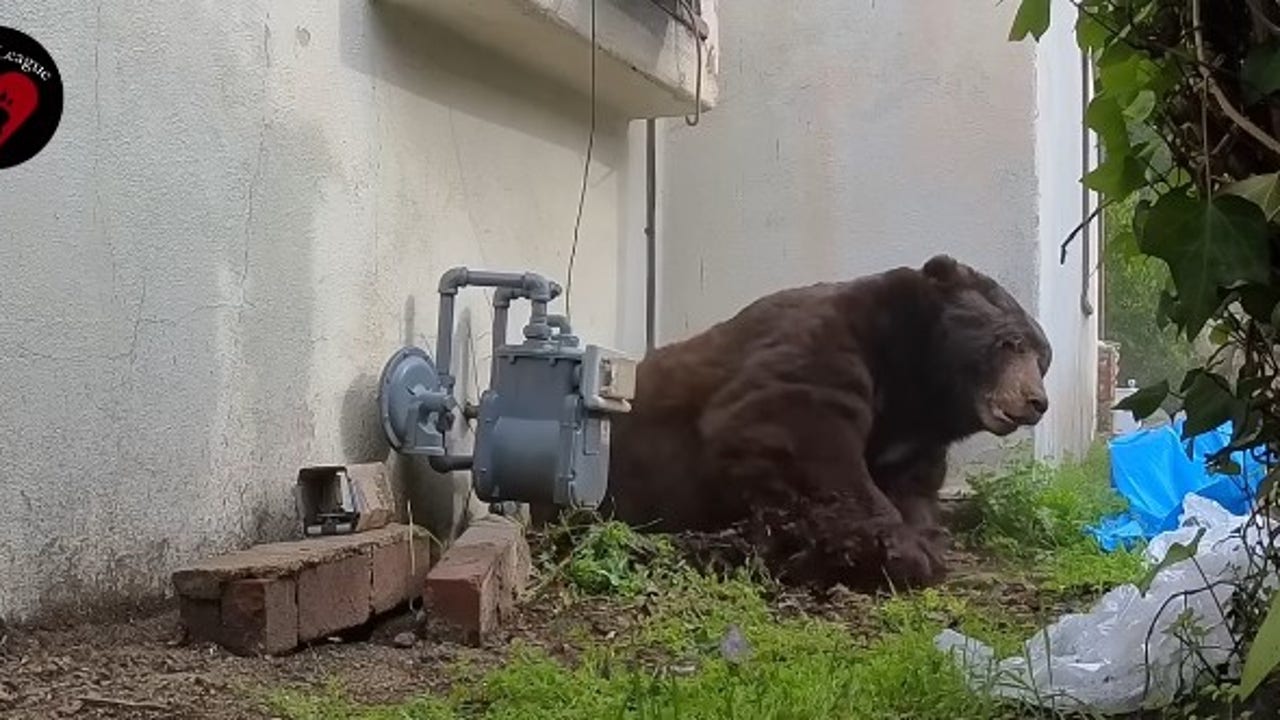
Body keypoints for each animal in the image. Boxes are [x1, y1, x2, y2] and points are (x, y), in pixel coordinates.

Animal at [602, 254, 1052, 590]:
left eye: (1043, 359)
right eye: (1012, 343)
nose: (1037, 402)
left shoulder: (908, 433)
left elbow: (912, 485)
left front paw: (924, 539)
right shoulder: (822, 342)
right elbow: (798, 432)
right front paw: (903, 552)